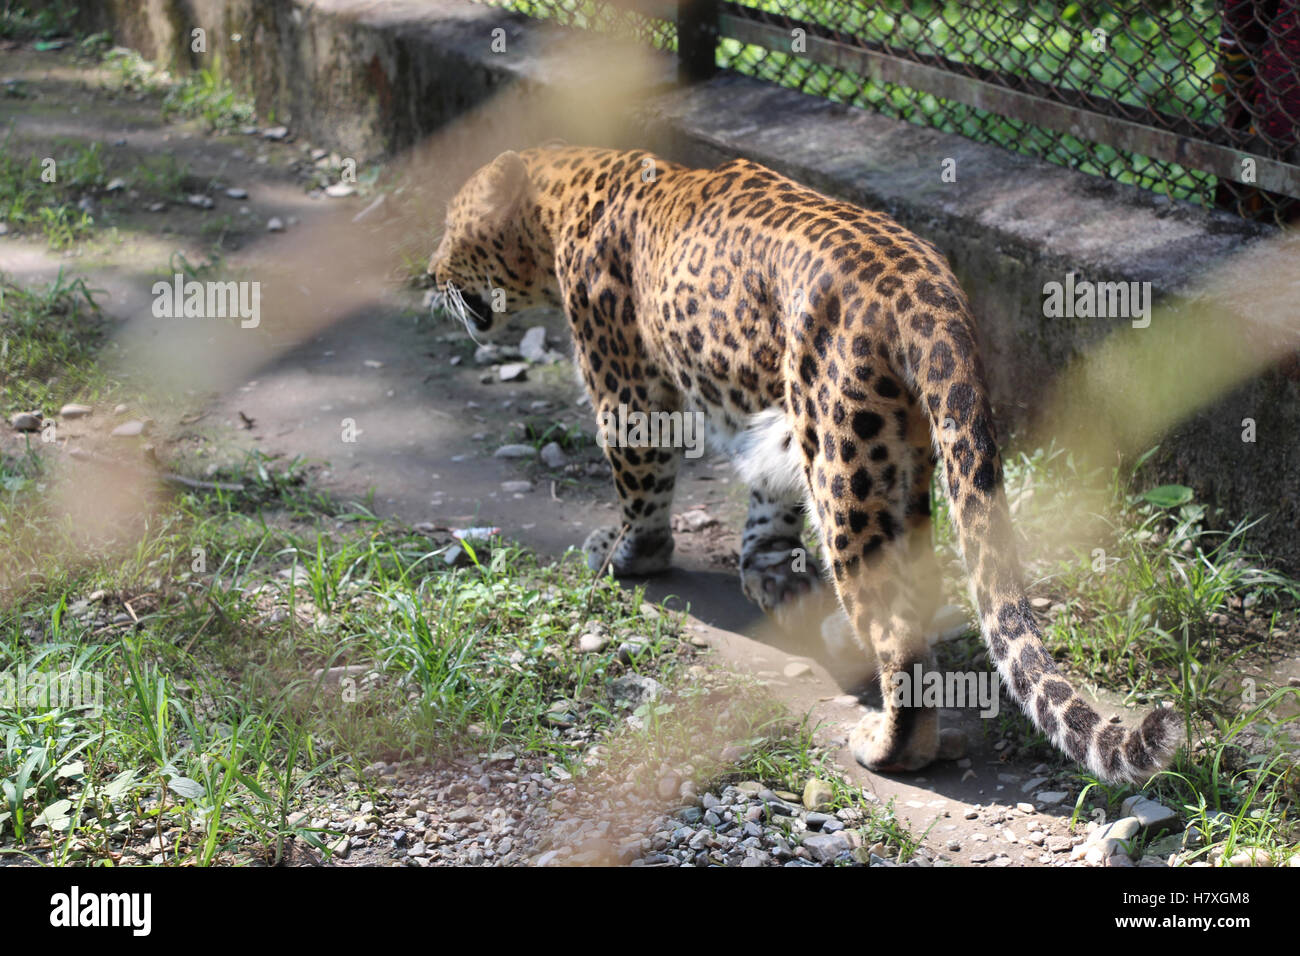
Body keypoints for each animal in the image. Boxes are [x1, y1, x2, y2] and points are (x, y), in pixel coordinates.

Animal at [427, 145, 1181, 783]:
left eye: (451, 227)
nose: (428, 275)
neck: (565, 195)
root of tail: (931, 294)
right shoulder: (772, 428)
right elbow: (766, 505)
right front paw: (767, 573)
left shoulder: (627, 392)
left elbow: (641, 485)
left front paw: (626, 553)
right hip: (893, 456)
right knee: (911, 585)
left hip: (841, 461)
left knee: (897, 634)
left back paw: (886, 746)